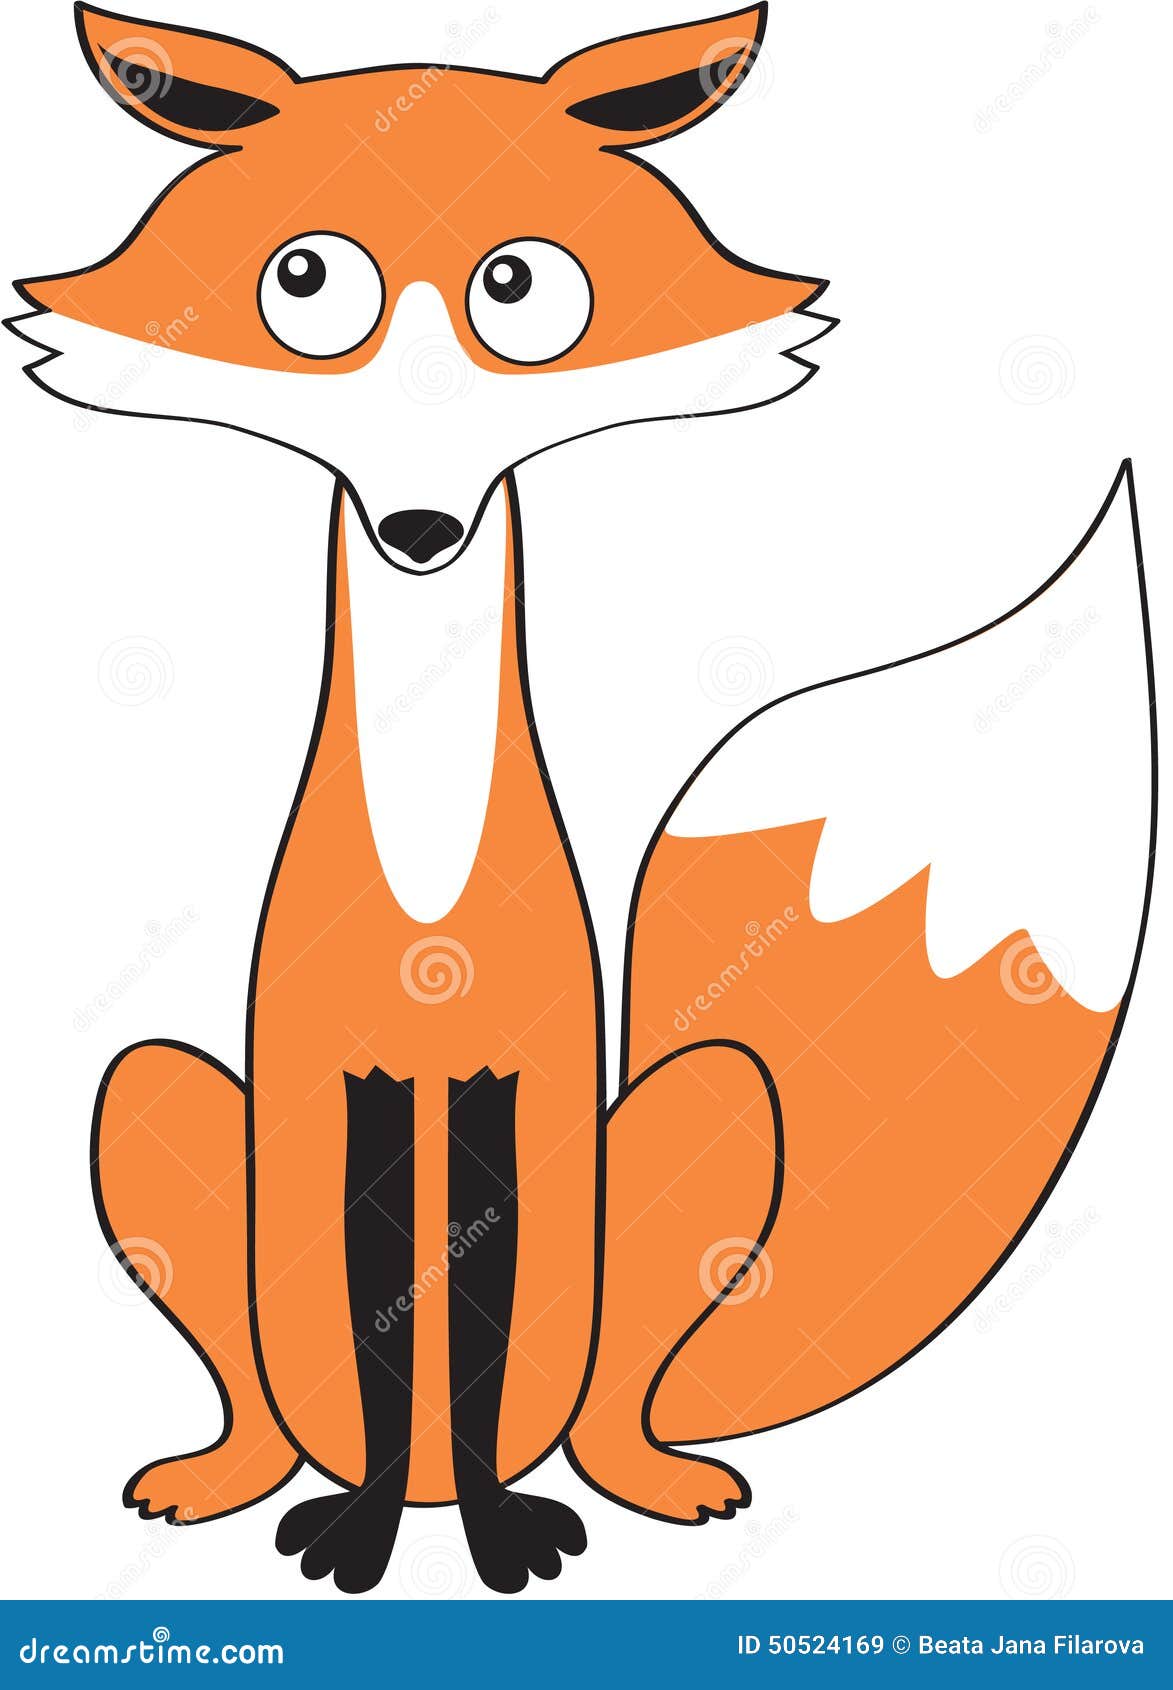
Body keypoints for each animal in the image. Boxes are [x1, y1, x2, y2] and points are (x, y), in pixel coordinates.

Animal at [8, 3, 1154, 1597]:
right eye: (305, 282)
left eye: (521, 288)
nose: (421, 528)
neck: (428, 877)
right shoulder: (358, 1082)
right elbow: (385, 1327)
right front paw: (362, 1537)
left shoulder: (506, 1082)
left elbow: (480, 1329)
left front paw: (502, 1536)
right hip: (148, 1101)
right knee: (266, 1393)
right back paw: (256, 1482)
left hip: (717, 1107)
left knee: (606, 1401)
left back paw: (621, 1484)